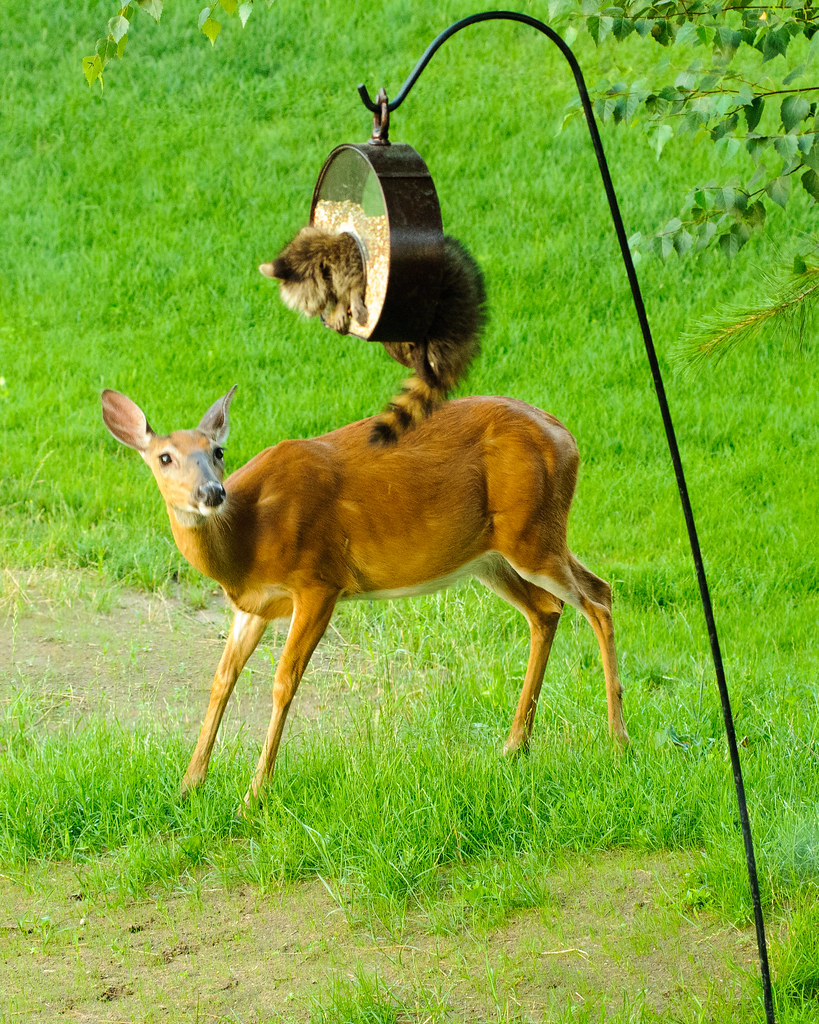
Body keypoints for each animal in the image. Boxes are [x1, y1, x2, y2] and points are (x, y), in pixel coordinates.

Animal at [260, 229, 487, 445]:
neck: (323, 253)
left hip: (449, 304)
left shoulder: (358, 266)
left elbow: (357, 284)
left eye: (305, 303)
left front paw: (350, 299)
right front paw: (340, 307)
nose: (311, 314)